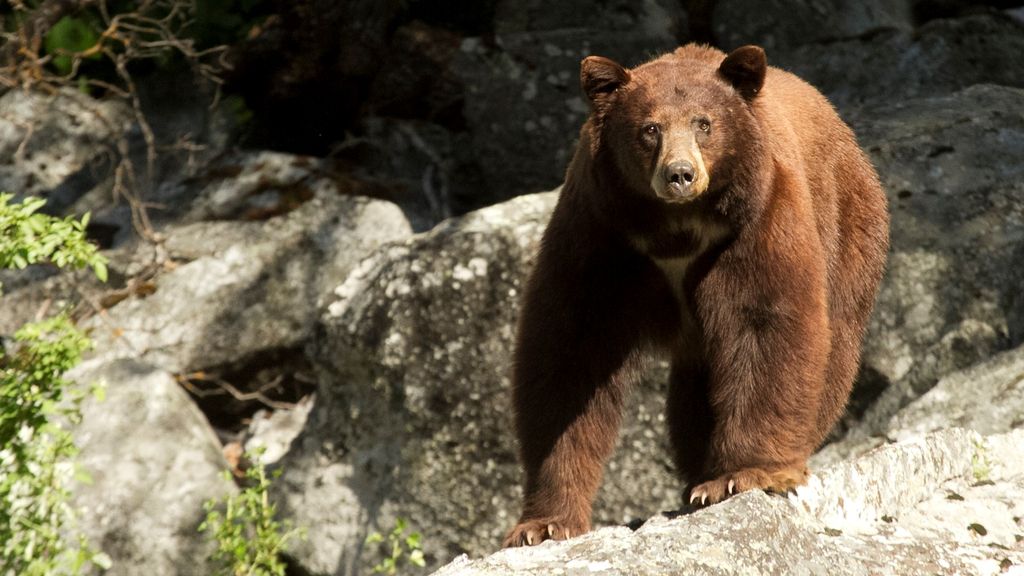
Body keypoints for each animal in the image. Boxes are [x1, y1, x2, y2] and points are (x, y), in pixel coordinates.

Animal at [503, 43, 890, 547]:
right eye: (650, 129)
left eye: (704, 123)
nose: (680, 174)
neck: (677, 228)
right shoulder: (601, 234)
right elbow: (569, 353)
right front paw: (544, 523)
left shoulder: (756, 223)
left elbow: (765, 324)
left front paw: (743, 474)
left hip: (848, 229)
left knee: (833, 350)